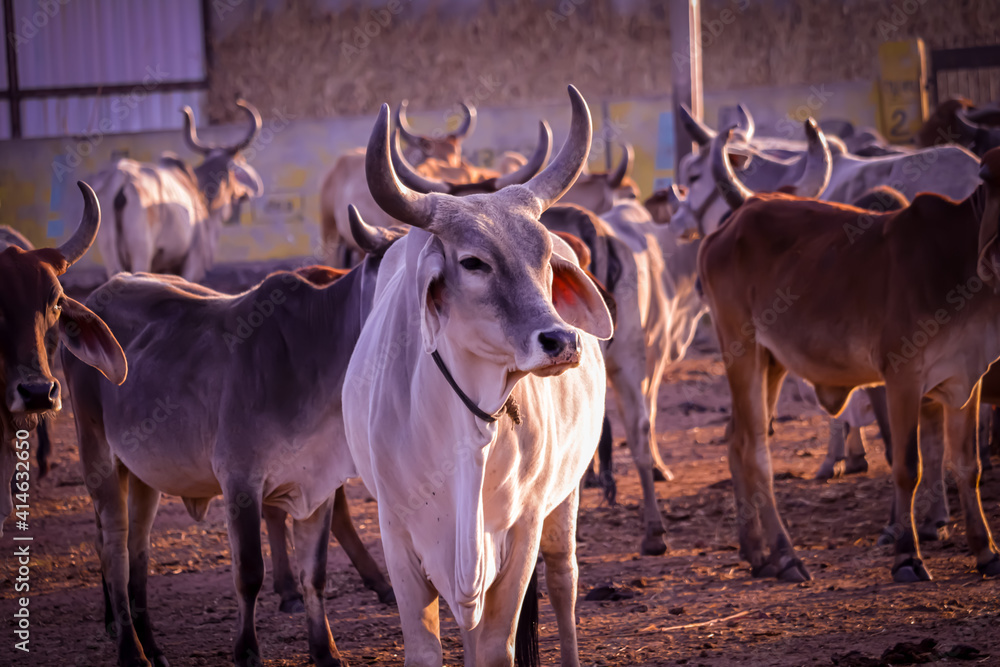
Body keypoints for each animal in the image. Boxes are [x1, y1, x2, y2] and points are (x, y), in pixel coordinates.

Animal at [62, 214, 408, 667]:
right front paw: (246, 651)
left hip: (141, 472)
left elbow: (314, 573)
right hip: (97, 451)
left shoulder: (319, 484)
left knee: (136, 548)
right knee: (113, 549)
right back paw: (131, 651)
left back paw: (151, 645)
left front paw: (326, 651)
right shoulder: (240, 479)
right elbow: (249, 573)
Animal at [90, 100, 263, 282]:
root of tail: (121, 177)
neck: (199, 188)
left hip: (110, 252)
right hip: (141, 251)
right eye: (239, 163)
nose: (245, 193)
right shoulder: (193, 260)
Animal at [342, 86, 613, 666]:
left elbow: (495, 647)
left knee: (564, 582)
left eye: (546, 256)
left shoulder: (521, 532)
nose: (563, 341)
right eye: (472, 262)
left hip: (564, 501)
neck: (470, 429)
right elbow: (426, 650)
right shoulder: (398, 538)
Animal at [697, 136, 1000, 583]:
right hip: (741, 349)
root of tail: (734, 220)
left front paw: (986, 551)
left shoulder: (967, 380)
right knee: (754, 447)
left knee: (736, 440)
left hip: (772, 361)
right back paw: (785, 556)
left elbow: (968, 465)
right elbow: (907, 466)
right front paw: (907, 557)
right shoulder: (903, 376)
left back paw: (757, 553)